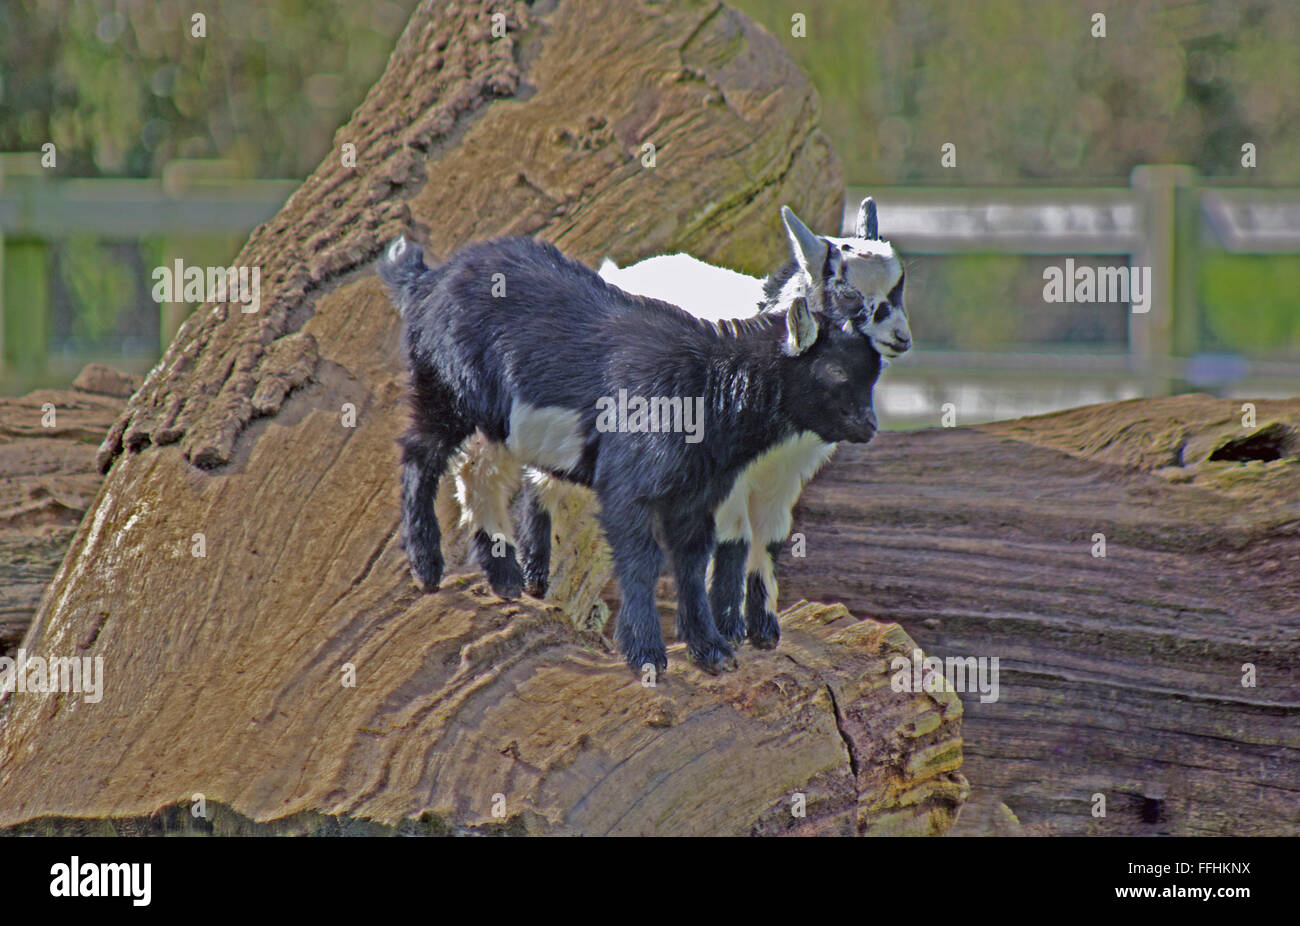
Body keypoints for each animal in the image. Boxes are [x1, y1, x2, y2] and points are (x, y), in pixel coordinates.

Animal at [378, 233, 883, 674]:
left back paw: (504, 577)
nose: (870, 426)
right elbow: (642, 559)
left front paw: (710, 650)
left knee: (479, 472)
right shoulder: (628, 488)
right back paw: (427, 566)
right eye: (835, 370)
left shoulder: (696, 495)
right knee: (421, 454)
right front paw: (646, 654)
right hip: (448, 388)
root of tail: (428, 281)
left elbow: (692, 559)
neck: (706, 384)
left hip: (498, 420)